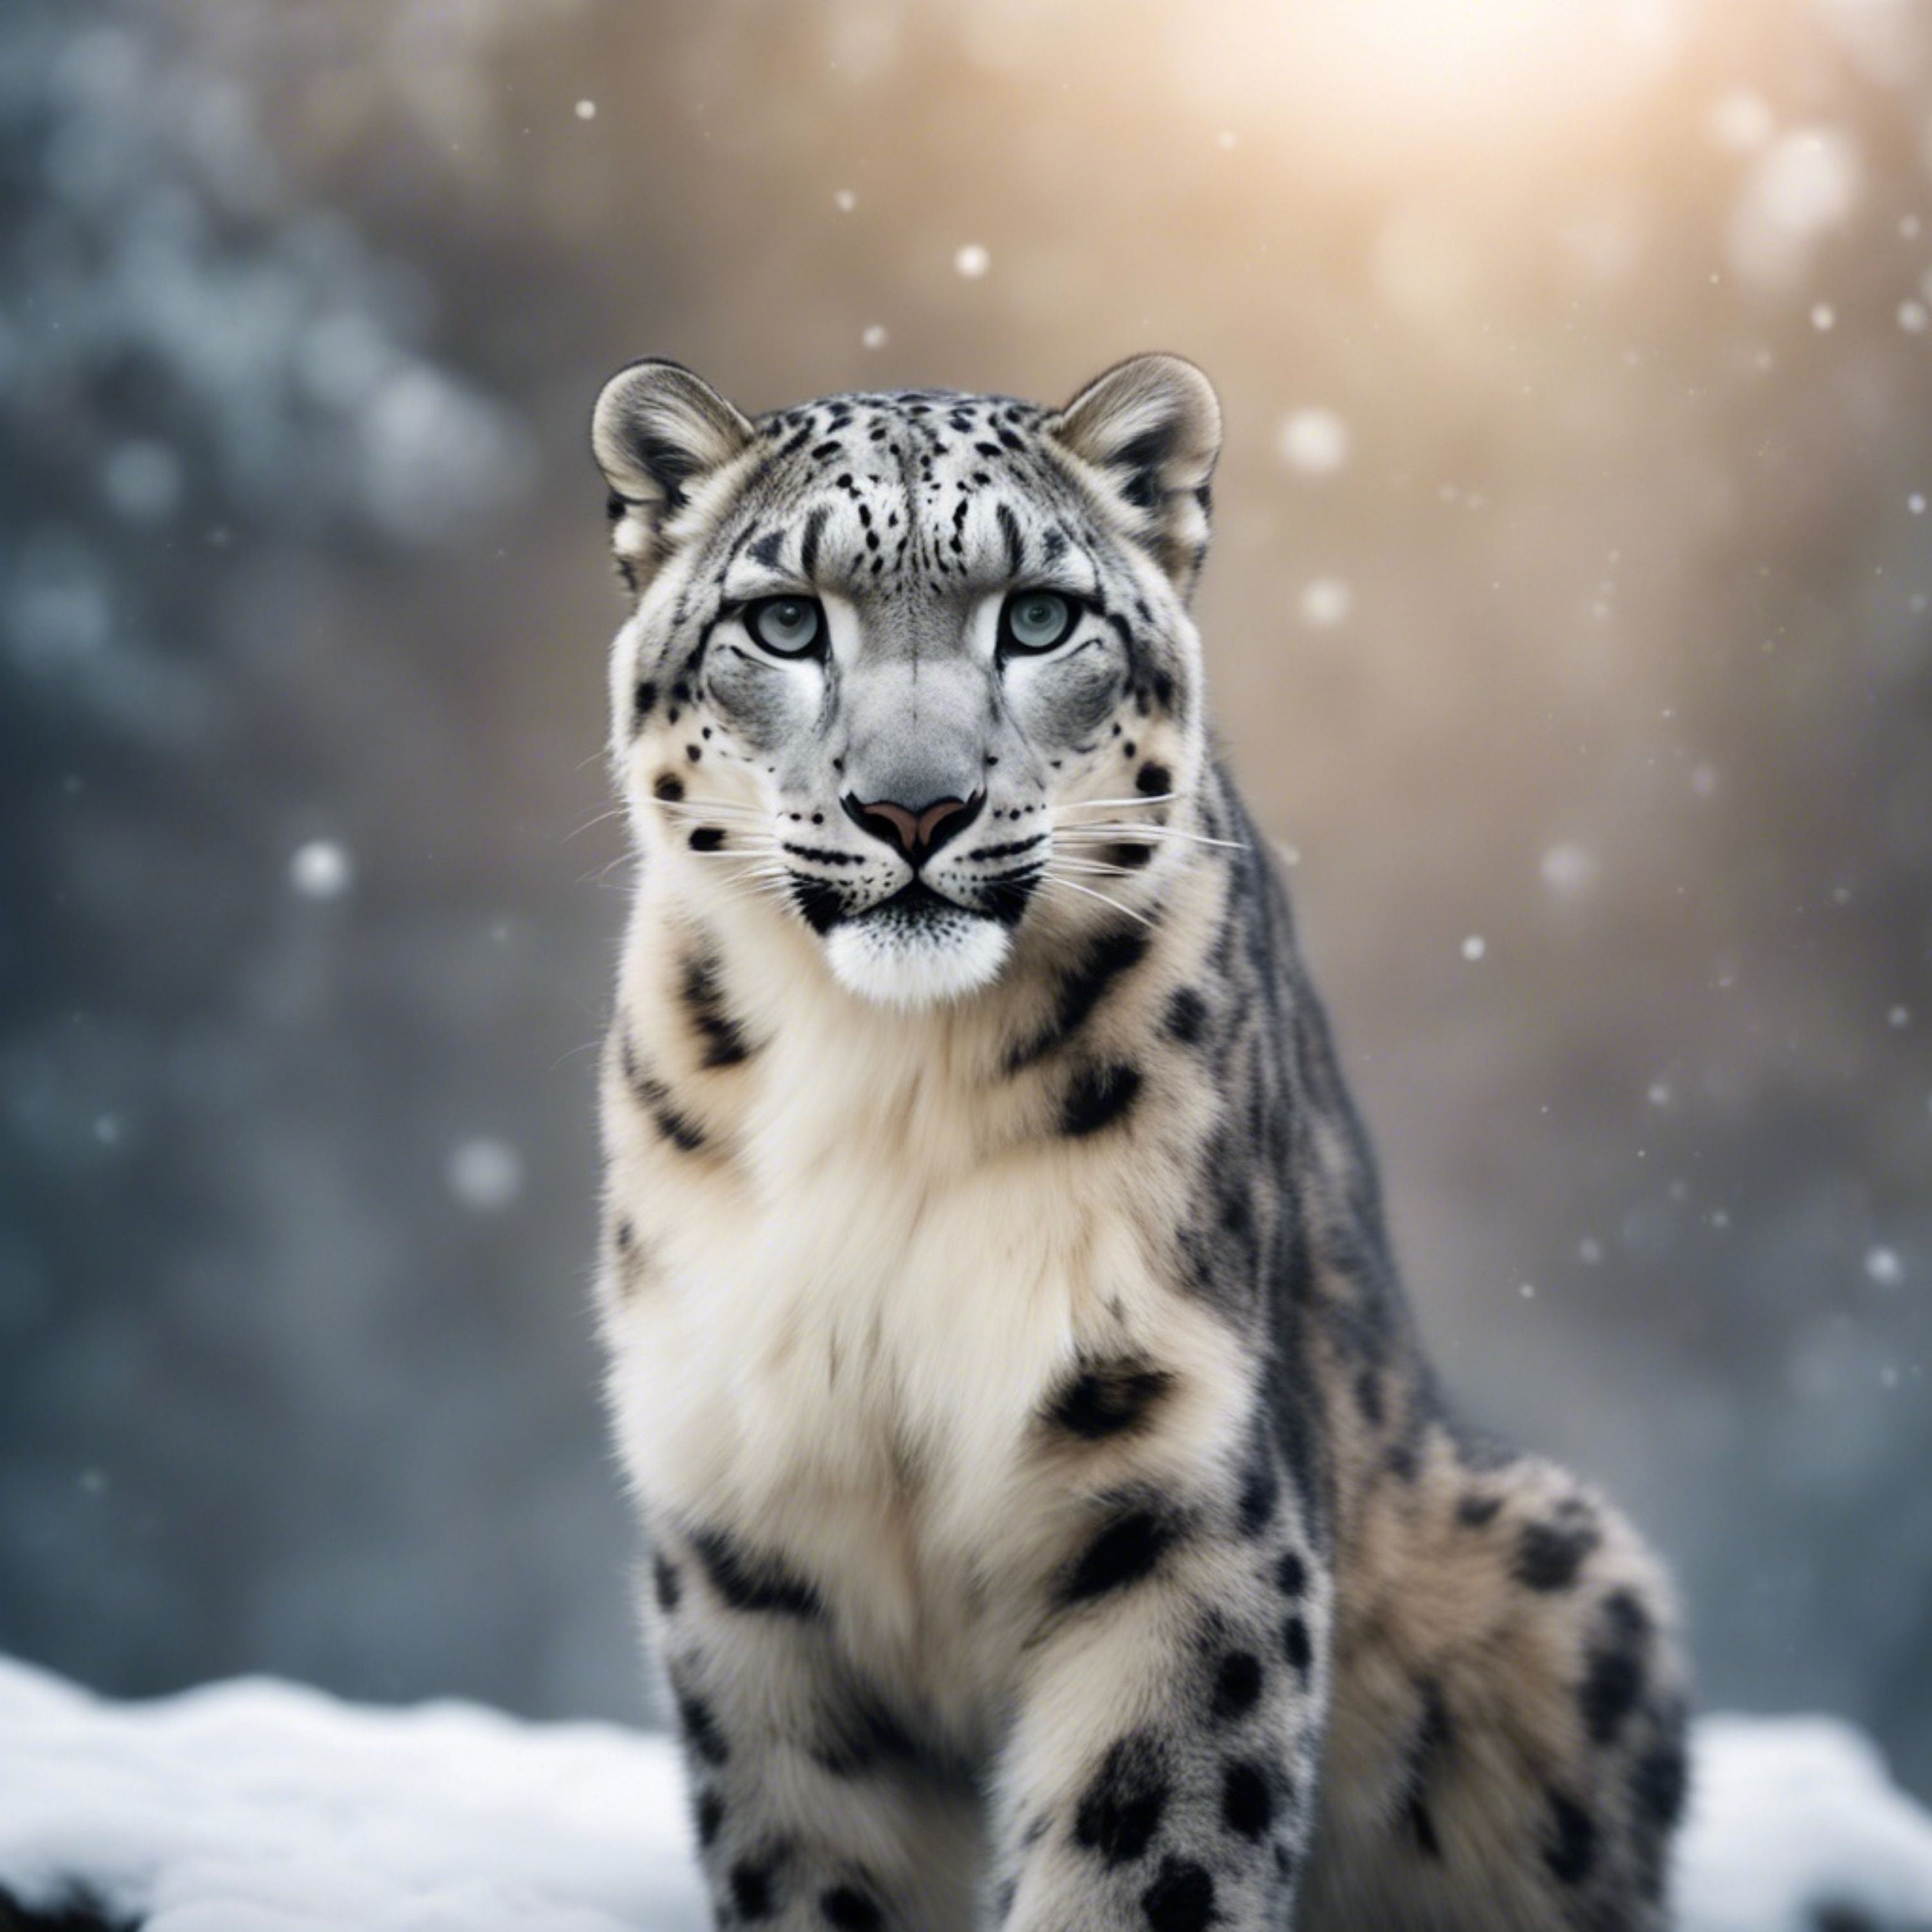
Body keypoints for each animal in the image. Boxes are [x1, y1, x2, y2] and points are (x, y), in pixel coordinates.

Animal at [587, 351, 1690, 1932]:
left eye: (1038, 615)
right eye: (785, 619)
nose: (914, 807)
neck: (883, 1080)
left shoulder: (1174, 1490)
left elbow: (1151, 1842)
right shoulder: (755, 1523)